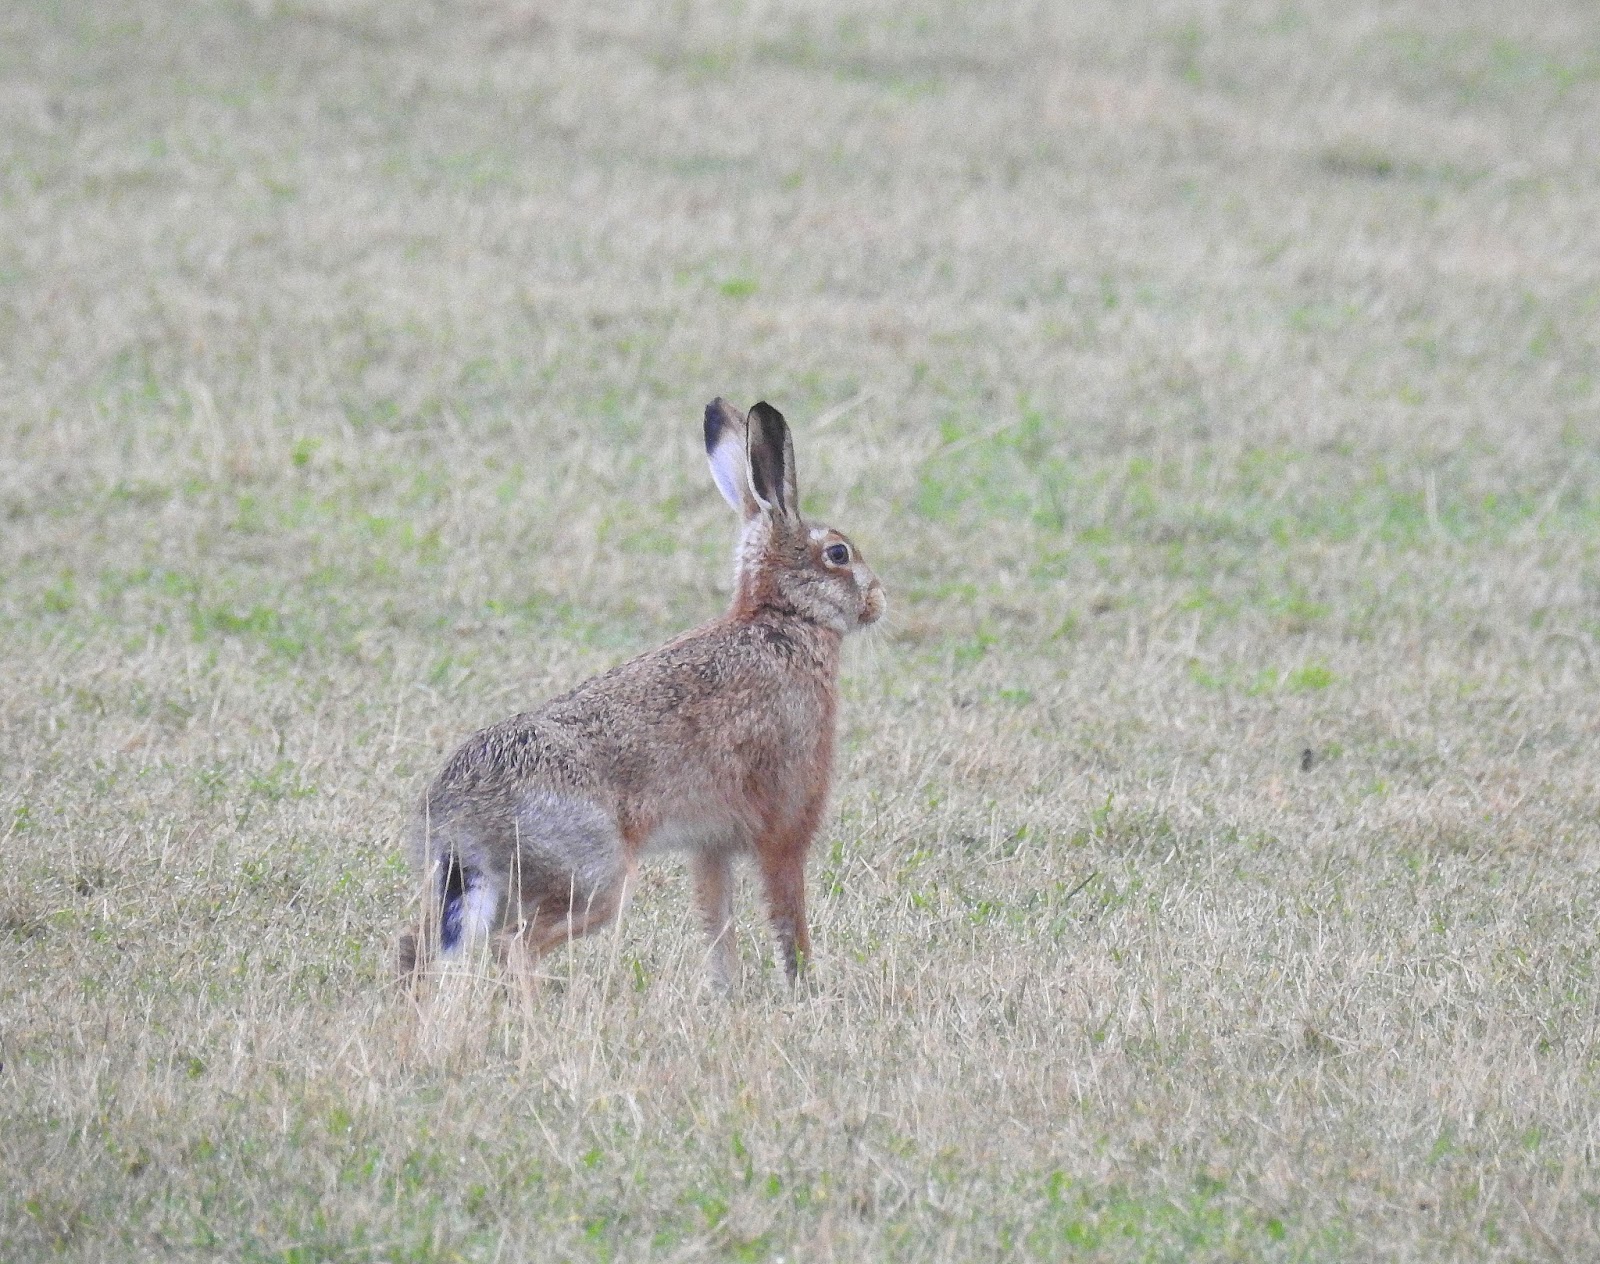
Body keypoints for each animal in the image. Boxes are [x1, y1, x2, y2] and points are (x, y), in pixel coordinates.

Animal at [397, 398, 885, 989]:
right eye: (838, 553)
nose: (878, 602)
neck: (785, 617)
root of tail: (459, 818)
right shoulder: (787, 818)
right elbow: (786, 914)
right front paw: (805, 988)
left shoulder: (711, 845)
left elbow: (717, 921)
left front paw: (727, 992)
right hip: (597, 875)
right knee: (514, 946)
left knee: (417, 945)